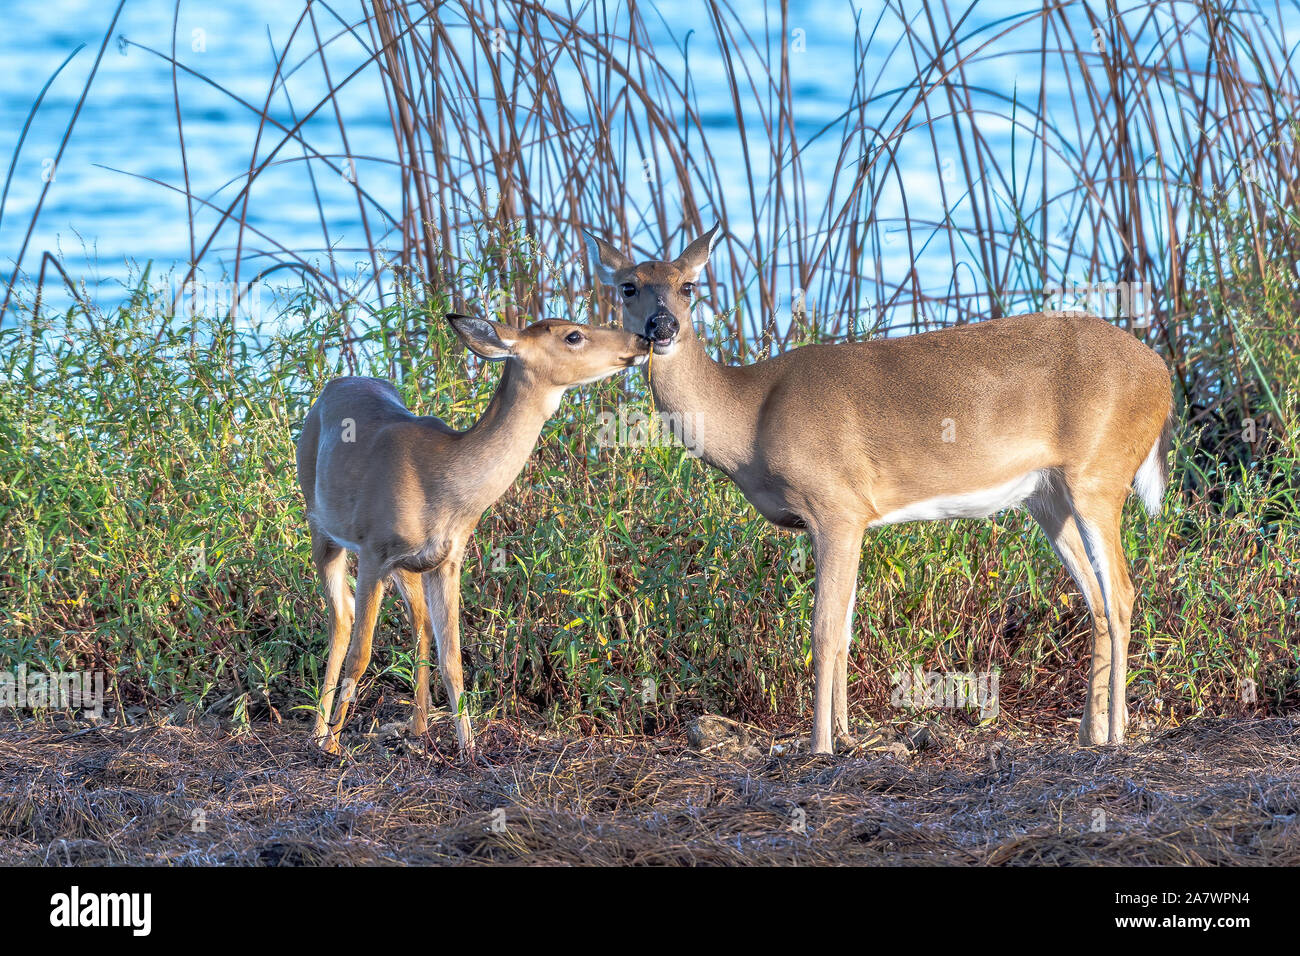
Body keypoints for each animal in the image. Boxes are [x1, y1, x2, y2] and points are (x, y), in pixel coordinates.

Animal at [295, 314, 650, 756]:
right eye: (573, 335)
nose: (641, 339)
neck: (441, 485)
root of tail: (333, 386)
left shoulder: (448, 559)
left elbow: (453, 658)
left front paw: (469, 748)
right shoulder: (374, 549)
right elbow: (362, 651)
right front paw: (333, 745)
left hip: (409, 566)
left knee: (418, 622)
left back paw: (417, 726)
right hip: (320, 525)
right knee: (341, 617)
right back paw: (319, 732)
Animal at [585, 224, 1174, 754]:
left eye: (688, 286)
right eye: (628, 286)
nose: (663, 325)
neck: (749, 415)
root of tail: (1163, 374)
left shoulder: (836, 507)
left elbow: (823, 630)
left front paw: (819, 745)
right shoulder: (846, 520)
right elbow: (845, 630)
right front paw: (848, 735)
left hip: (1098, 474)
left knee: (1122, 593)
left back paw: (1116, 734)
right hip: (1048, 497)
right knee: (1097, 600)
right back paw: (1090, 731)